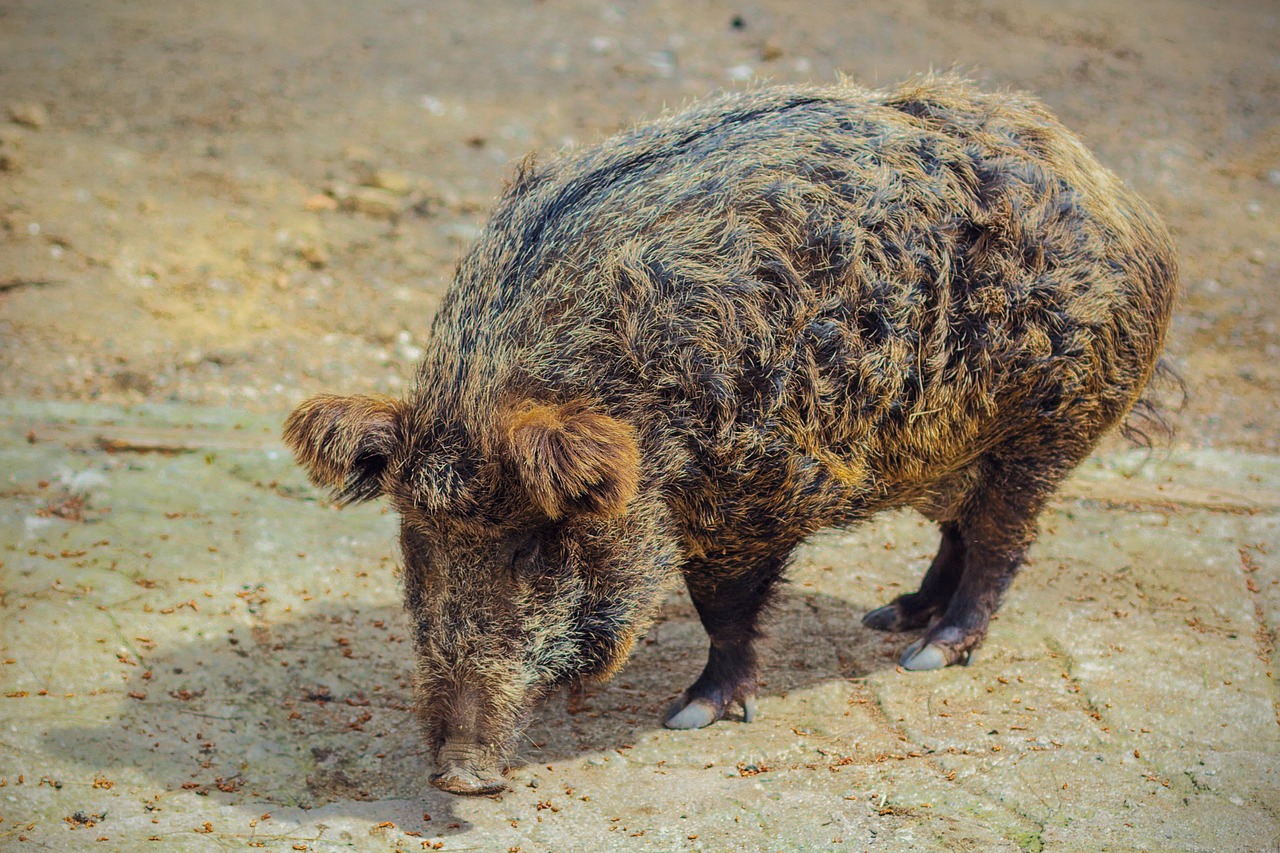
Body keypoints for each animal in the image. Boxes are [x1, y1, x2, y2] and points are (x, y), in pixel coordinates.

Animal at [284, 74, 1177, 795]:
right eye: (416, 541)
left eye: (536, 544)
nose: (461, 776)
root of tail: (1130, 207)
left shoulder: (755, 496)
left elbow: (724, 610)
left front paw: (693, 713)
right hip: (958, 448)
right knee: (960, 531)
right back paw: (892, 618)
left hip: (1048, 425)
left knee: (1001, 543)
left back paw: (929, 652)